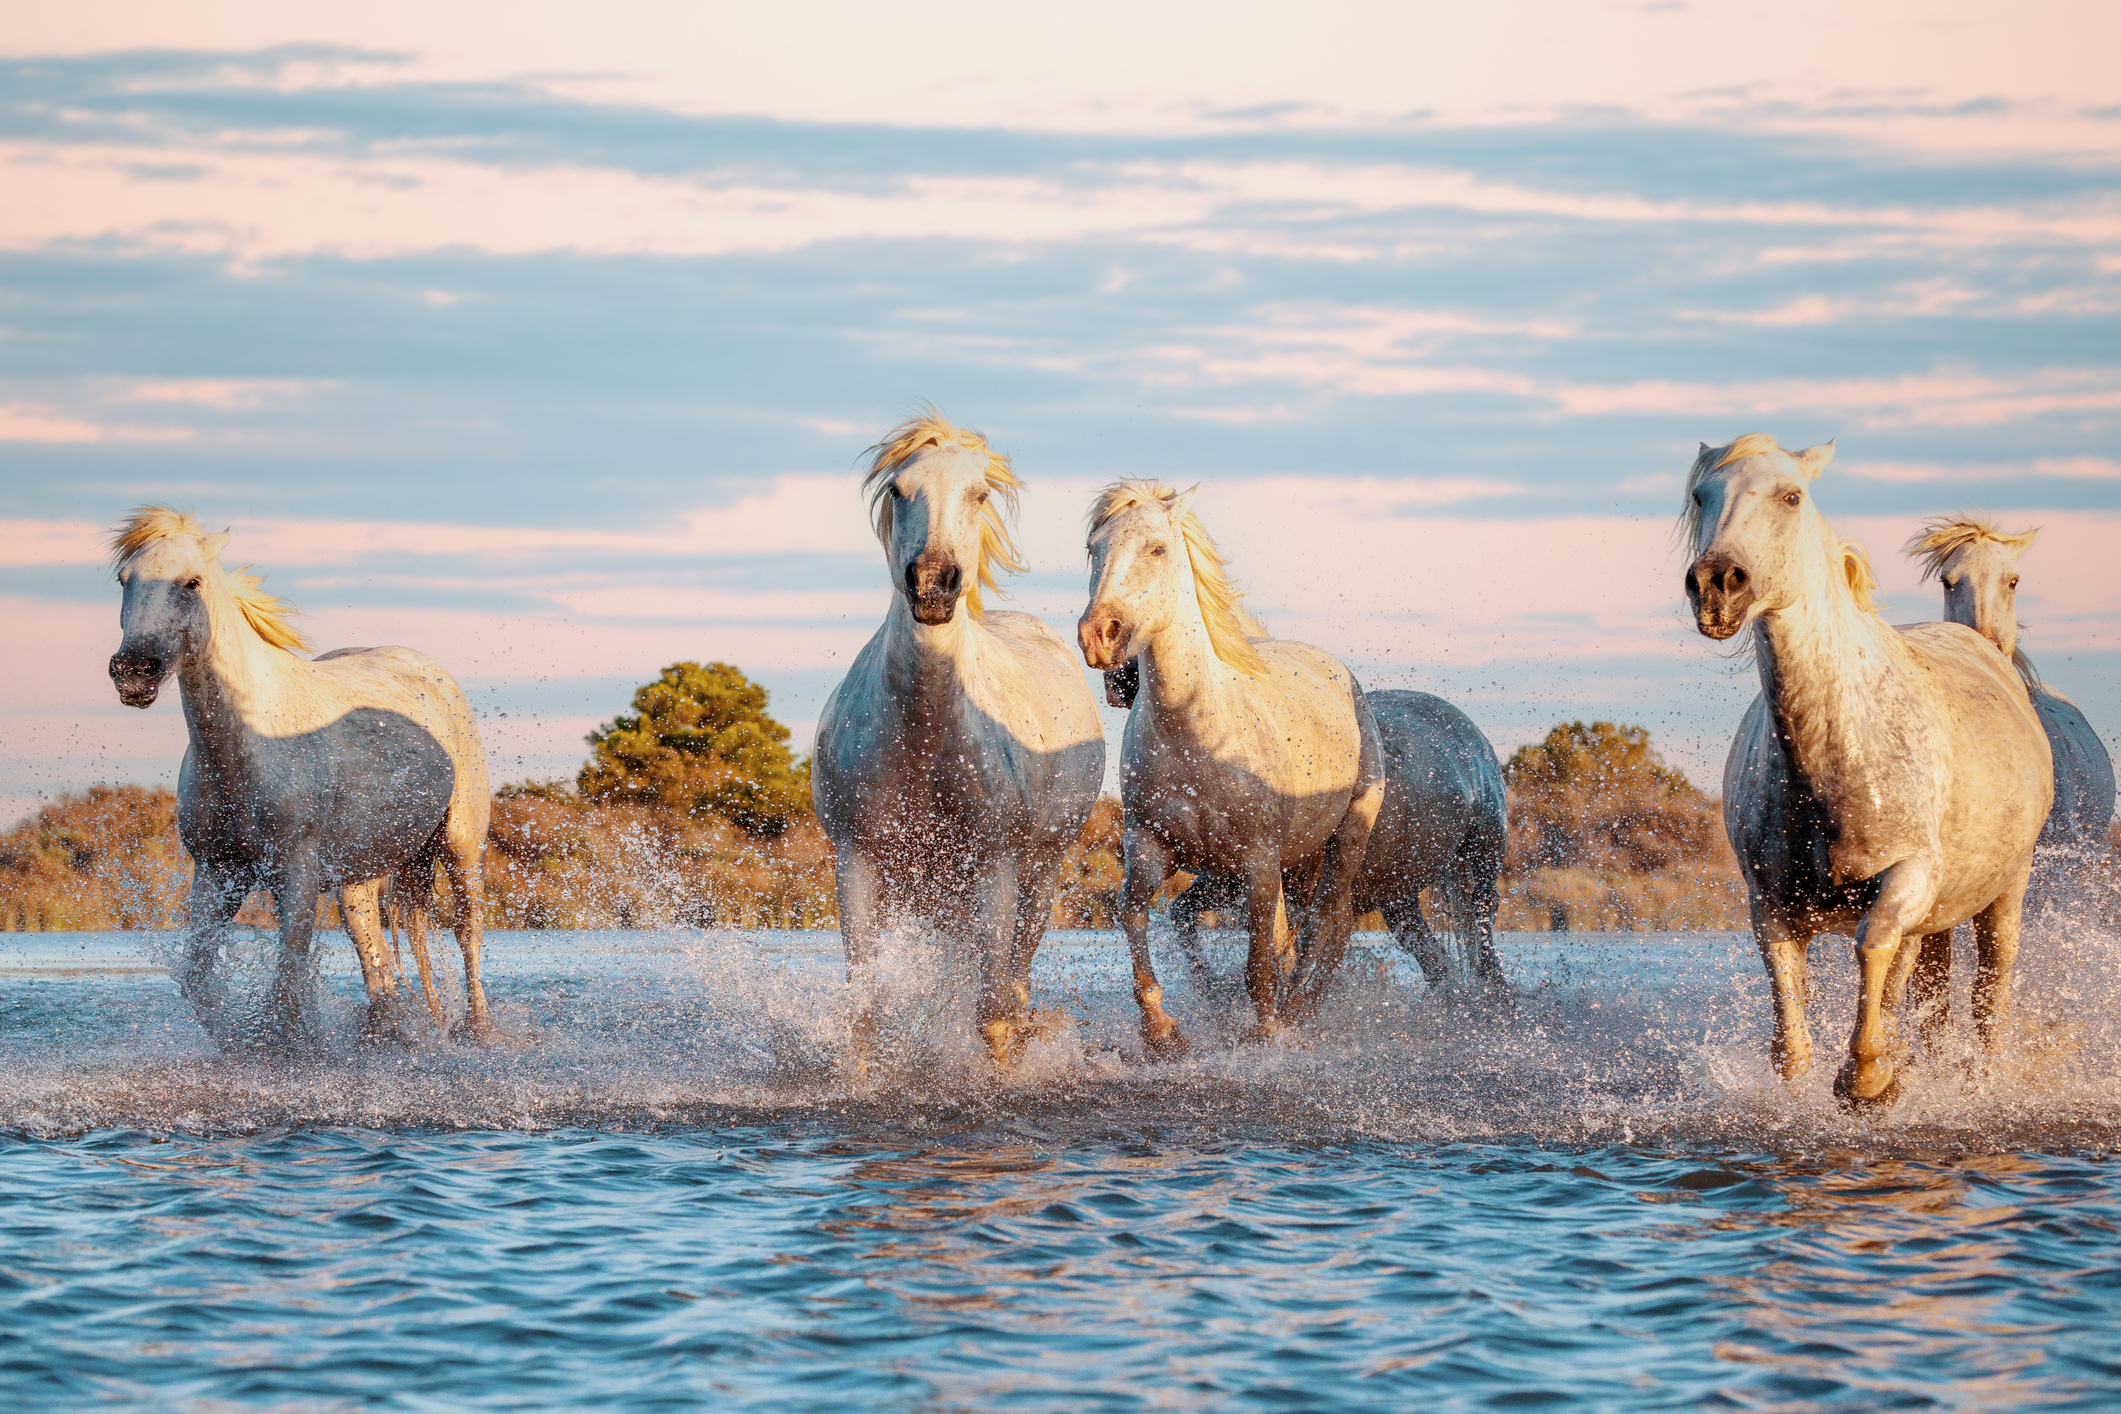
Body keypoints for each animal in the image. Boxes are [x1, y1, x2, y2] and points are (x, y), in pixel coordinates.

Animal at [107, 507, 492, 1050]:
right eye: (125, 580)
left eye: (192, 582)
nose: (134, 671)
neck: (247, 748)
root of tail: (431, 672)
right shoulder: (218, 873)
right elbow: (198, 979)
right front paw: (240, 1043)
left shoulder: (297, 873)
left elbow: (287, 982)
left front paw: (286, 1048)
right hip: (359, 878)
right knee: (376, 956)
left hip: (459, 847)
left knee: (467, 934)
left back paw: (478, 1030)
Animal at [811, 411, 1105, 1071]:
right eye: (898, 490)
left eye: (979, 494)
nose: (932, 585)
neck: (924, 737)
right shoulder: (857, 864)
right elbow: (864, 1013)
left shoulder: (995, 867)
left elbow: (991, 1015)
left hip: (1039, 872)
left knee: (1014, 982)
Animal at [1079, 480, 1386, 1054]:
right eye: (1094, 549)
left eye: (1157, 549)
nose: (1099, 636)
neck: (1199, 735)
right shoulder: (1151, 847)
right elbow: (1131, 910)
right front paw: (1162, 1032)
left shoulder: (1260, 862)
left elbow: (1261, 960)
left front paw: (1266, 1033)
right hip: (1261, 866)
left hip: (1345, 839)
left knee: (1326, 924)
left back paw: (1297, 1011)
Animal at [1108, 666, 1508, 998]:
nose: (1117, 679)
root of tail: (1472, 733)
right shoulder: (1236, 879)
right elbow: (1185, 914)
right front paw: (1219, 997)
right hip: (1399, 897)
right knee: (1434, 958)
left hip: (1481, 856)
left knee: (1484, 924)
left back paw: (1496, 1000)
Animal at [1683, 437, 2052, 1106]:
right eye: (1702, 496)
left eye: (1792, 496)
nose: (1717, 584)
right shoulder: (1769, 905)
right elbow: (1792, 1037)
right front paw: (1839, 1075)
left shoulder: (1907, 877)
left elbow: (1872, 944)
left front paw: (1868, 1076)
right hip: (1938, 914)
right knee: (1925, 988)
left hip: (2005, 892)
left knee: (1989, 996)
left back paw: (1974, 1078)